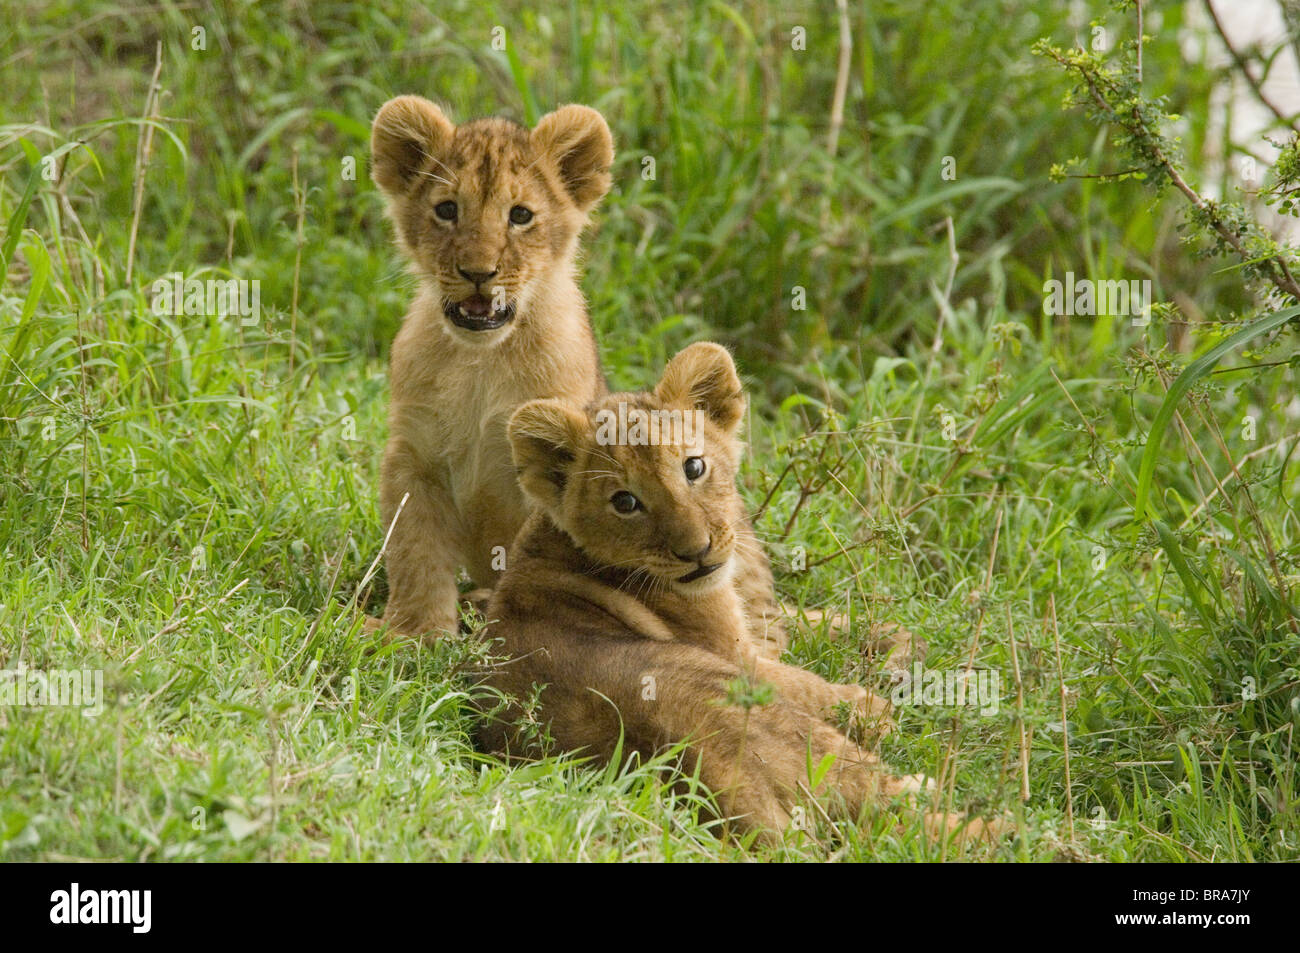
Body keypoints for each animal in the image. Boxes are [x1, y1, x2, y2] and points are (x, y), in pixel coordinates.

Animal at [476, 342, 1007, 848]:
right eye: (625, 502)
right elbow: (811, 683)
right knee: (897, 808)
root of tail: (708, 773)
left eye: (694, 467)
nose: (697, 552)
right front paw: (874, 704)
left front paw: (900, 648)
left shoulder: (759, 623)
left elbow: (832, 623)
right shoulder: (738, 655)